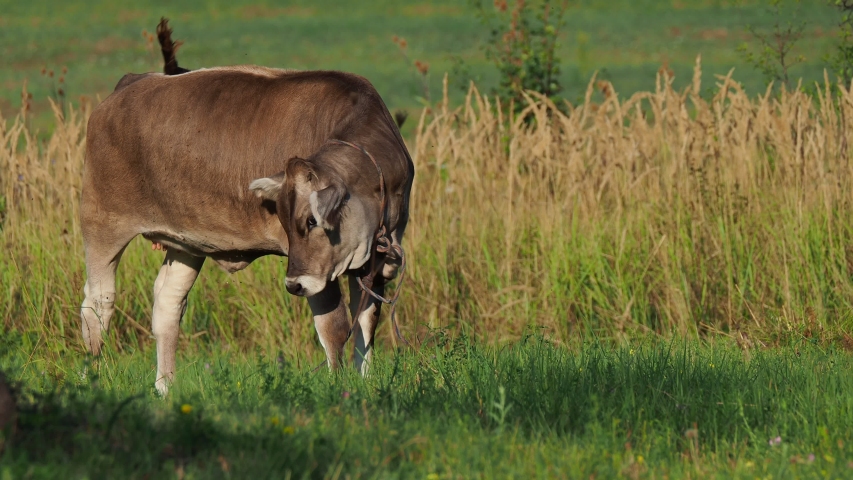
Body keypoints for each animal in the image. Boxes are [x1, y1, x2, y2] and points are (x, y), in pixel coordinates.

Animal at [80, 60, 414, 395]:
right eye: (285, 222)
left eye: (311, 220)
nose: (292, 285)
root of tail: (133, 82)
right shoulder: (315, 272)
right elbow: (334, 328)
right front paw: (336, 388)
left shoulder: (376, 262)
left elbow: (366, 325)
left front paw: (366, 384)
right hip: (102, 222)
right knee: (97, 303)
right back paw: (89, 378)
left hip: (185, 243)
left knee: (167, 304)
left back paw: (166, 388)